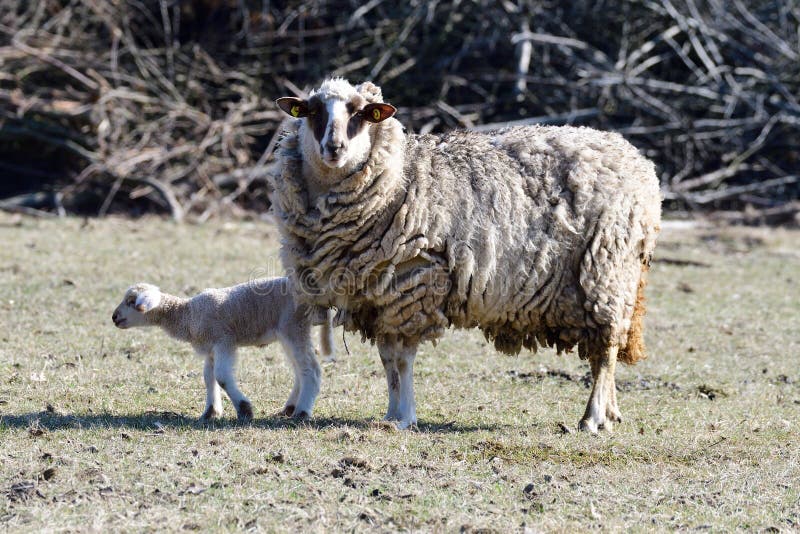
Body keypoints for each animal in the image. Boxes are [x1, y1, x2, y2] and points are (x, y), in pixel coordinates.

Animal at [111, 278, 334, 421]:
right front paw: (211, 412)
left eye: (131, 301)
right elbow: (208, 377)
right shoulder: (211, 348)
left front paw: (244, 409)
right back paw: (289, 408)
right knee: (299, 370)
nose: (114, 317)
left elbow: (222, 377)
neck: (188, 315)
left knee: (311, 370)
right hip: (288, 333)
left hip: (294, 327)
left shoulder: (224, 342)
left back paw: (302, 412)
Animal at [270, 78, 661, 432]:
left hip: (606, 271)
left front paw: (405, 417)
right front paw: (391, 413)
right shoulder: (380, 294)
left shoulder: (413, 282)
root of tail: (638, 161)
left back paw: (593, 418)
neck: (399, 178)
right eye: (314, 112)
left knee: (606, 349)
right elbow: (387, 359)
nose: (334, 147)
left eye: (360, 114)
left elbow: (403, 359)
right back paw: (610, 413)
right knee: (605, 353)